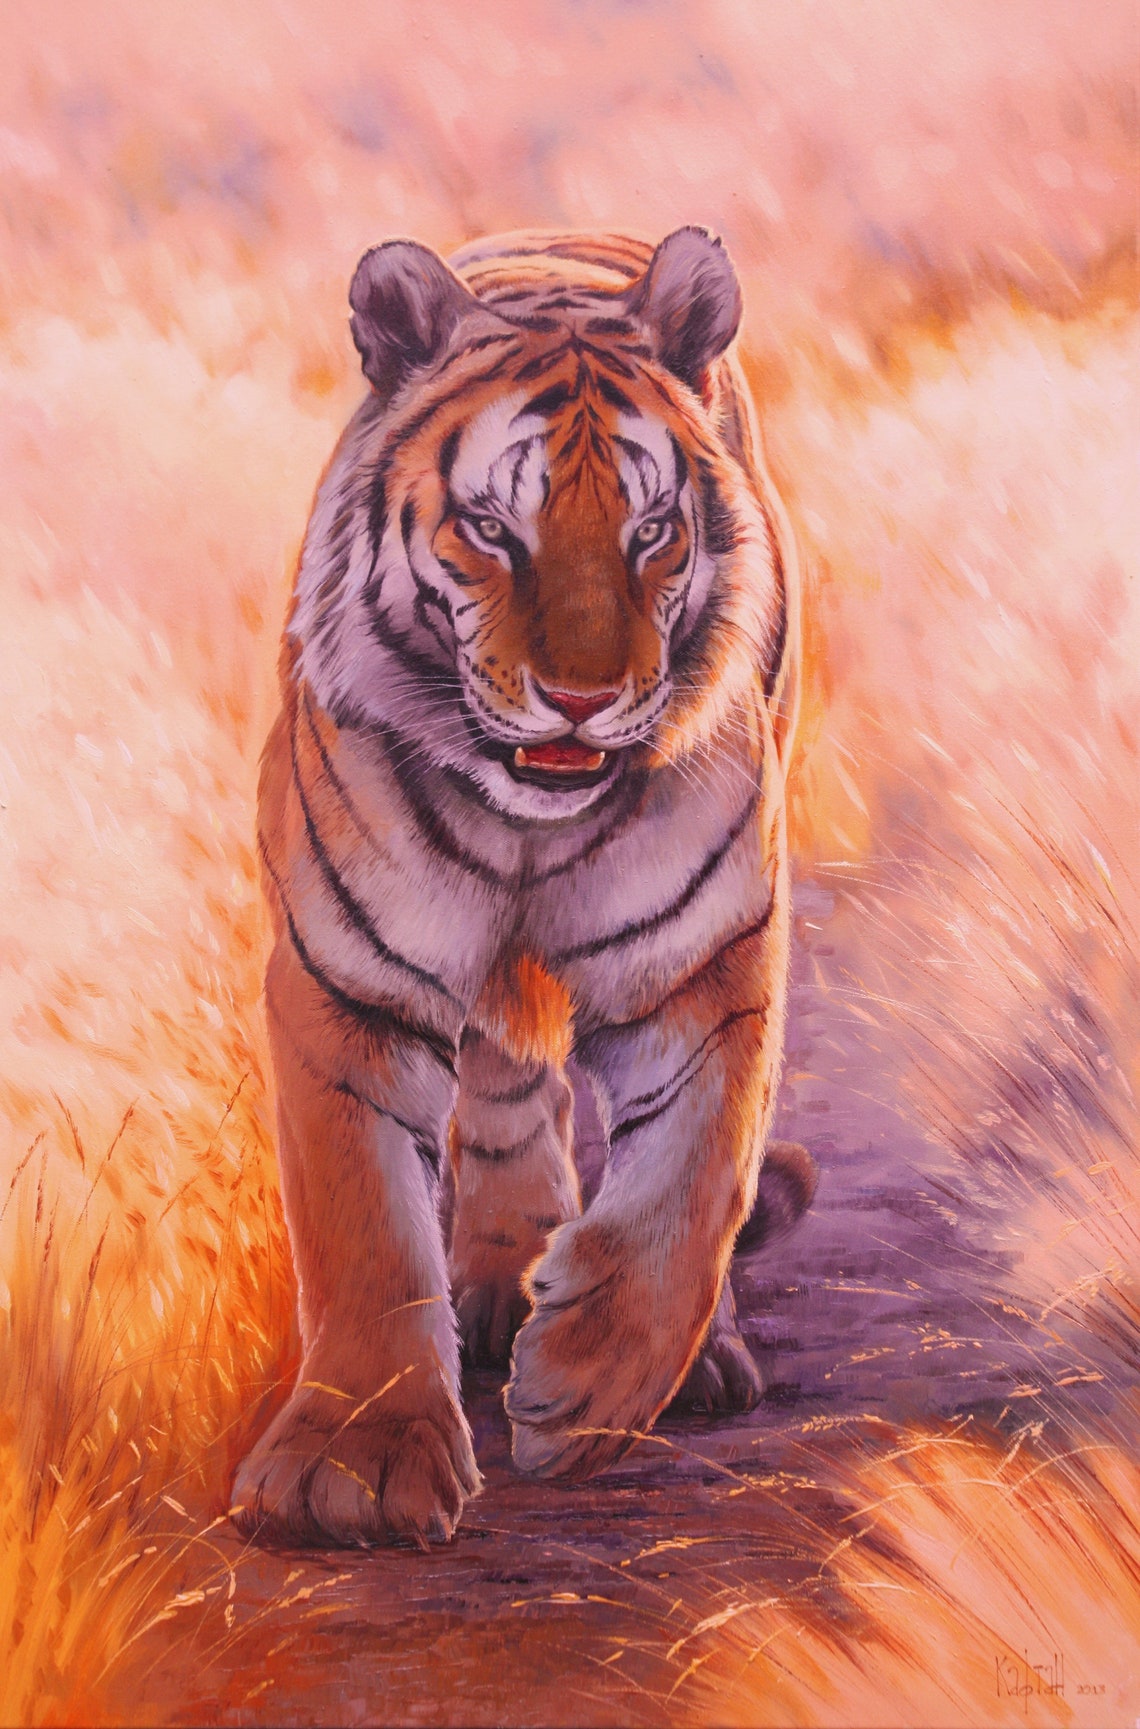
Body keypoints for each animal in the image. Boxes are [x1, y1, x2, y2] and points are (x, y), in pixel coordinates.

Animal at [231, 226, 812, 1550]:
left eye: (652, 531)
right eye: (492, 530)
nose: (584, 700)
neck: (527, 832)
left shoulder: (706, 964)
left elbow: (689, 1188)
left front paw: (586, 1387)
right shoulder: (348, 981)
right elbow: (364, 1229)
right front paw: (354, 1470)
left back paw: (689, 1361)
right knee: (504, 1084)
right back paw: (501, 1275)